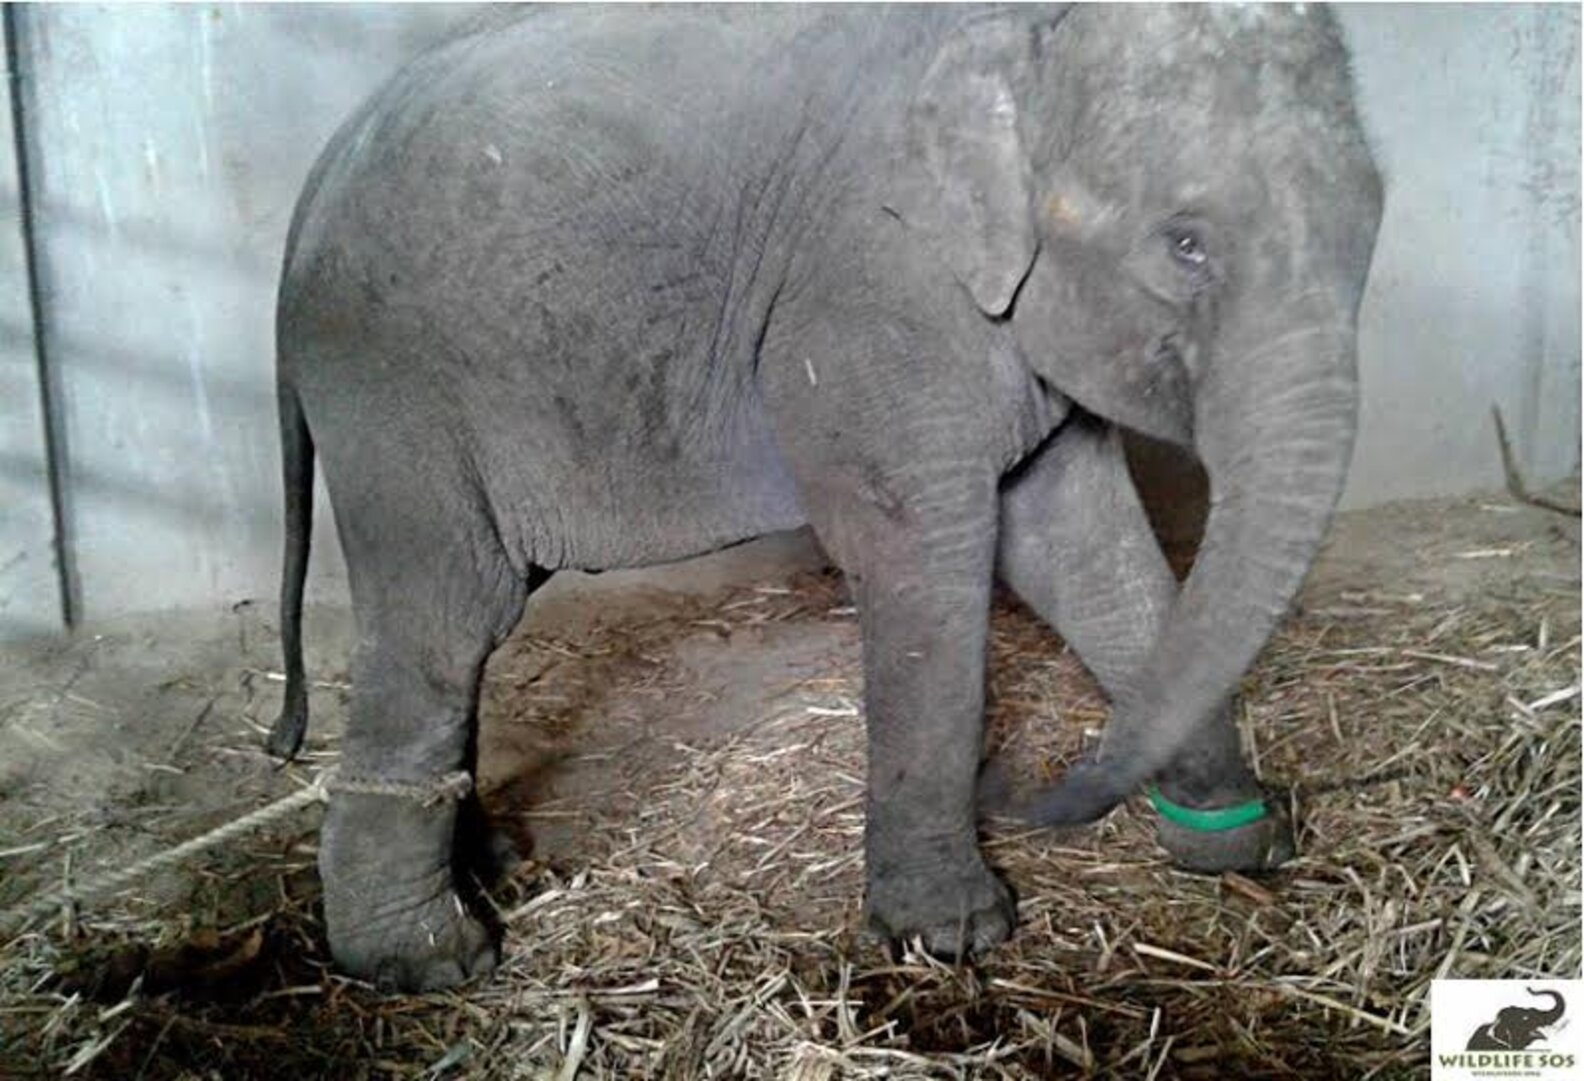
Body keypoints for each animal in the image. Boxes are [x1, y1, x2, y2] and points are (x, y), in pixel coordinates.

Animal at [265, 4, 1383, 990]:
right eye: (1185, 243)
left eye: (1371, 224)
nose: (1034, 795)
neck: (1022, 34)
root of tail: (317, 173)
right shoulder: (875, 299)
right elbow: (928, 551)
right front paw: (956, 937)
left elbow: (1084, 543)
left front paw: (1238, 844)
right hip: (395, 388)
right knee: (450, 614)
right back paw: (429, 959)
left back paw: (488, 868)